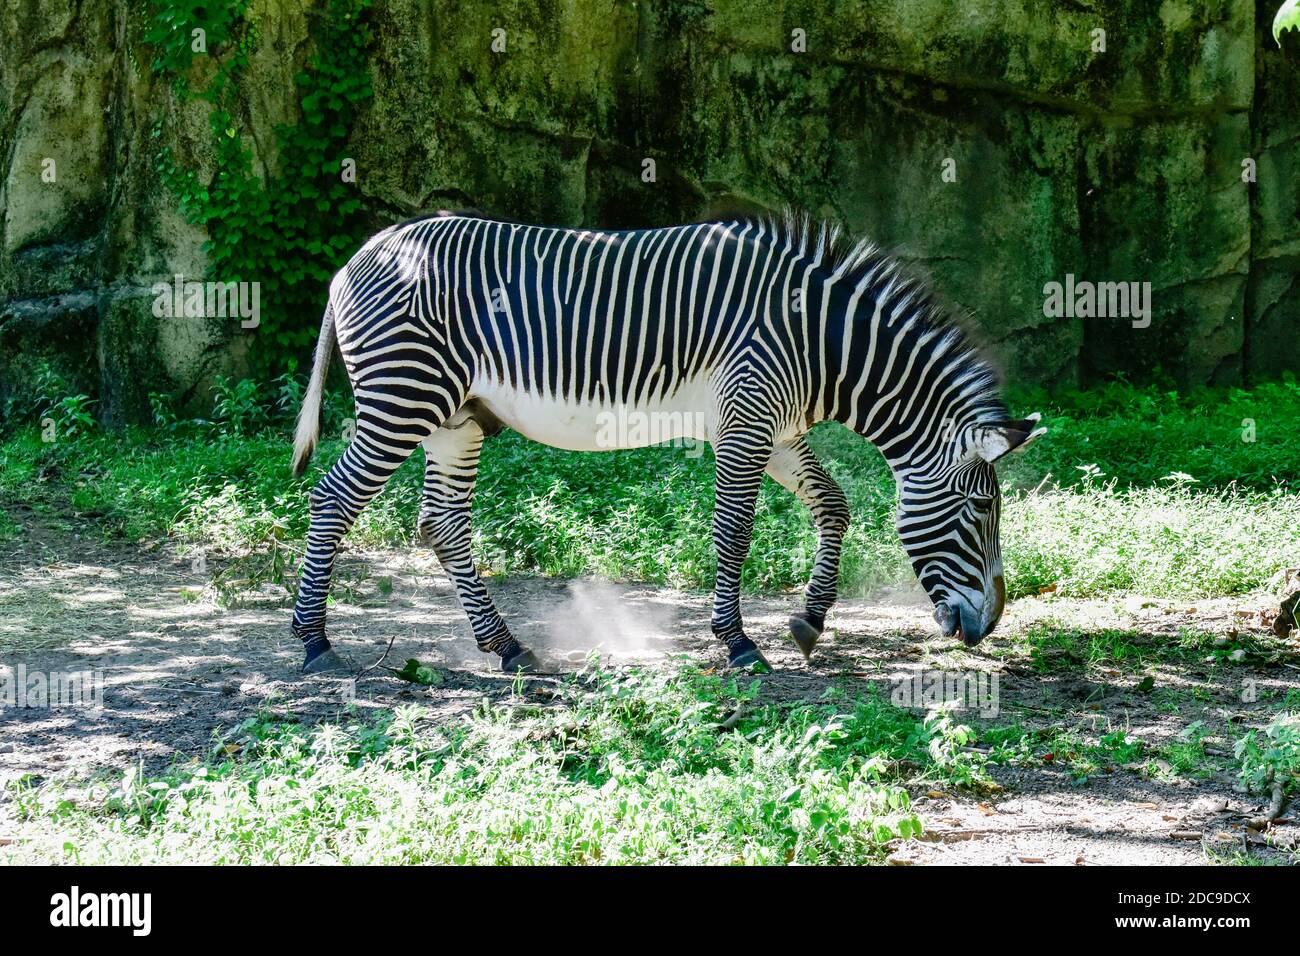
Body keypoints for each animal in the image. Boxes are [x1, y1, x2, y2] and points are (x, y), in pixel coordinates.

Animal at [289, 211, 1045, 674]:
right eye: (982, 510)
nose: (989, 627)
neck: (818, 340)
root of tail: (357, 259)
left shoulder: (778, 430)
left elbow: (834, 507)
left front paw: (808, 620)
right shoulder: (746, 418)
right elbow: (733, 531)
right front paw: (737, 643)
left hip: (457, 418)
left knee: (441, 523)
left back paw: (506, 646)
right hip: (405, 396)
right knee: (332, 498)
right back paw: (315, 642)